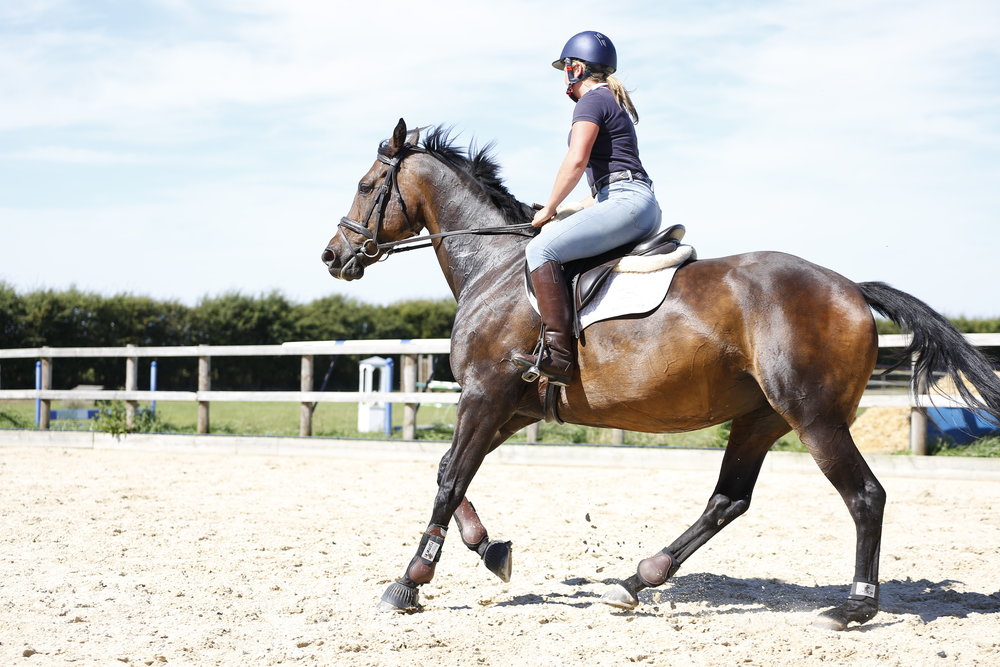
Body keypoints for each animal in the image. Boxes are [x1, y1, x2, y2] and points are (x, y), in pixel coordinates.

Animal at [321, 118, 1000, 630]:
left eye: (365, 185)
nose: (333, 255)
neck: (496, 267)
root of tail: (852, 289)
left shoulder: (486, 395)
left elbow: (447, 479)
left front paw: (408, 582)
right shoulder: (511, 405)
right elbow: (451, 472)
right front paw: (491, 551)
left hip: (814, 417)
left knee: (864, 496)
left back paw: (853, 608)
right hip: (760, 416)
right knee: (728, 499)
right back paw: (635, 580)